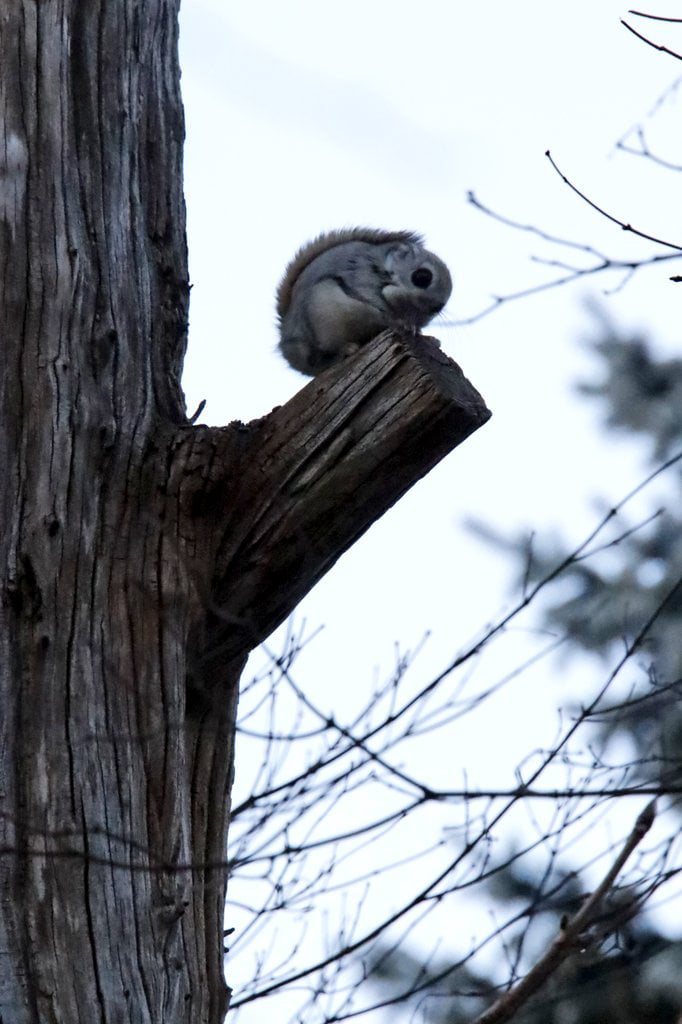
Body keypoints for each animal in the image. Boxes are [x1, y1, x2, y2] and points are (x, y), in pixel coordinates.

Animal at [276, 227, 452, 376]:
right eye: (422, 276)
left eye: (438, 308)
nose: (435, 306)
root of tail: (289, 347)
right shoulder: (360, 275)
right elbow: (377, 305)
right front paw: (402, 322)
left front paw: (423, 335)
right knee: (324, 359)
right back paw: (344, 350)